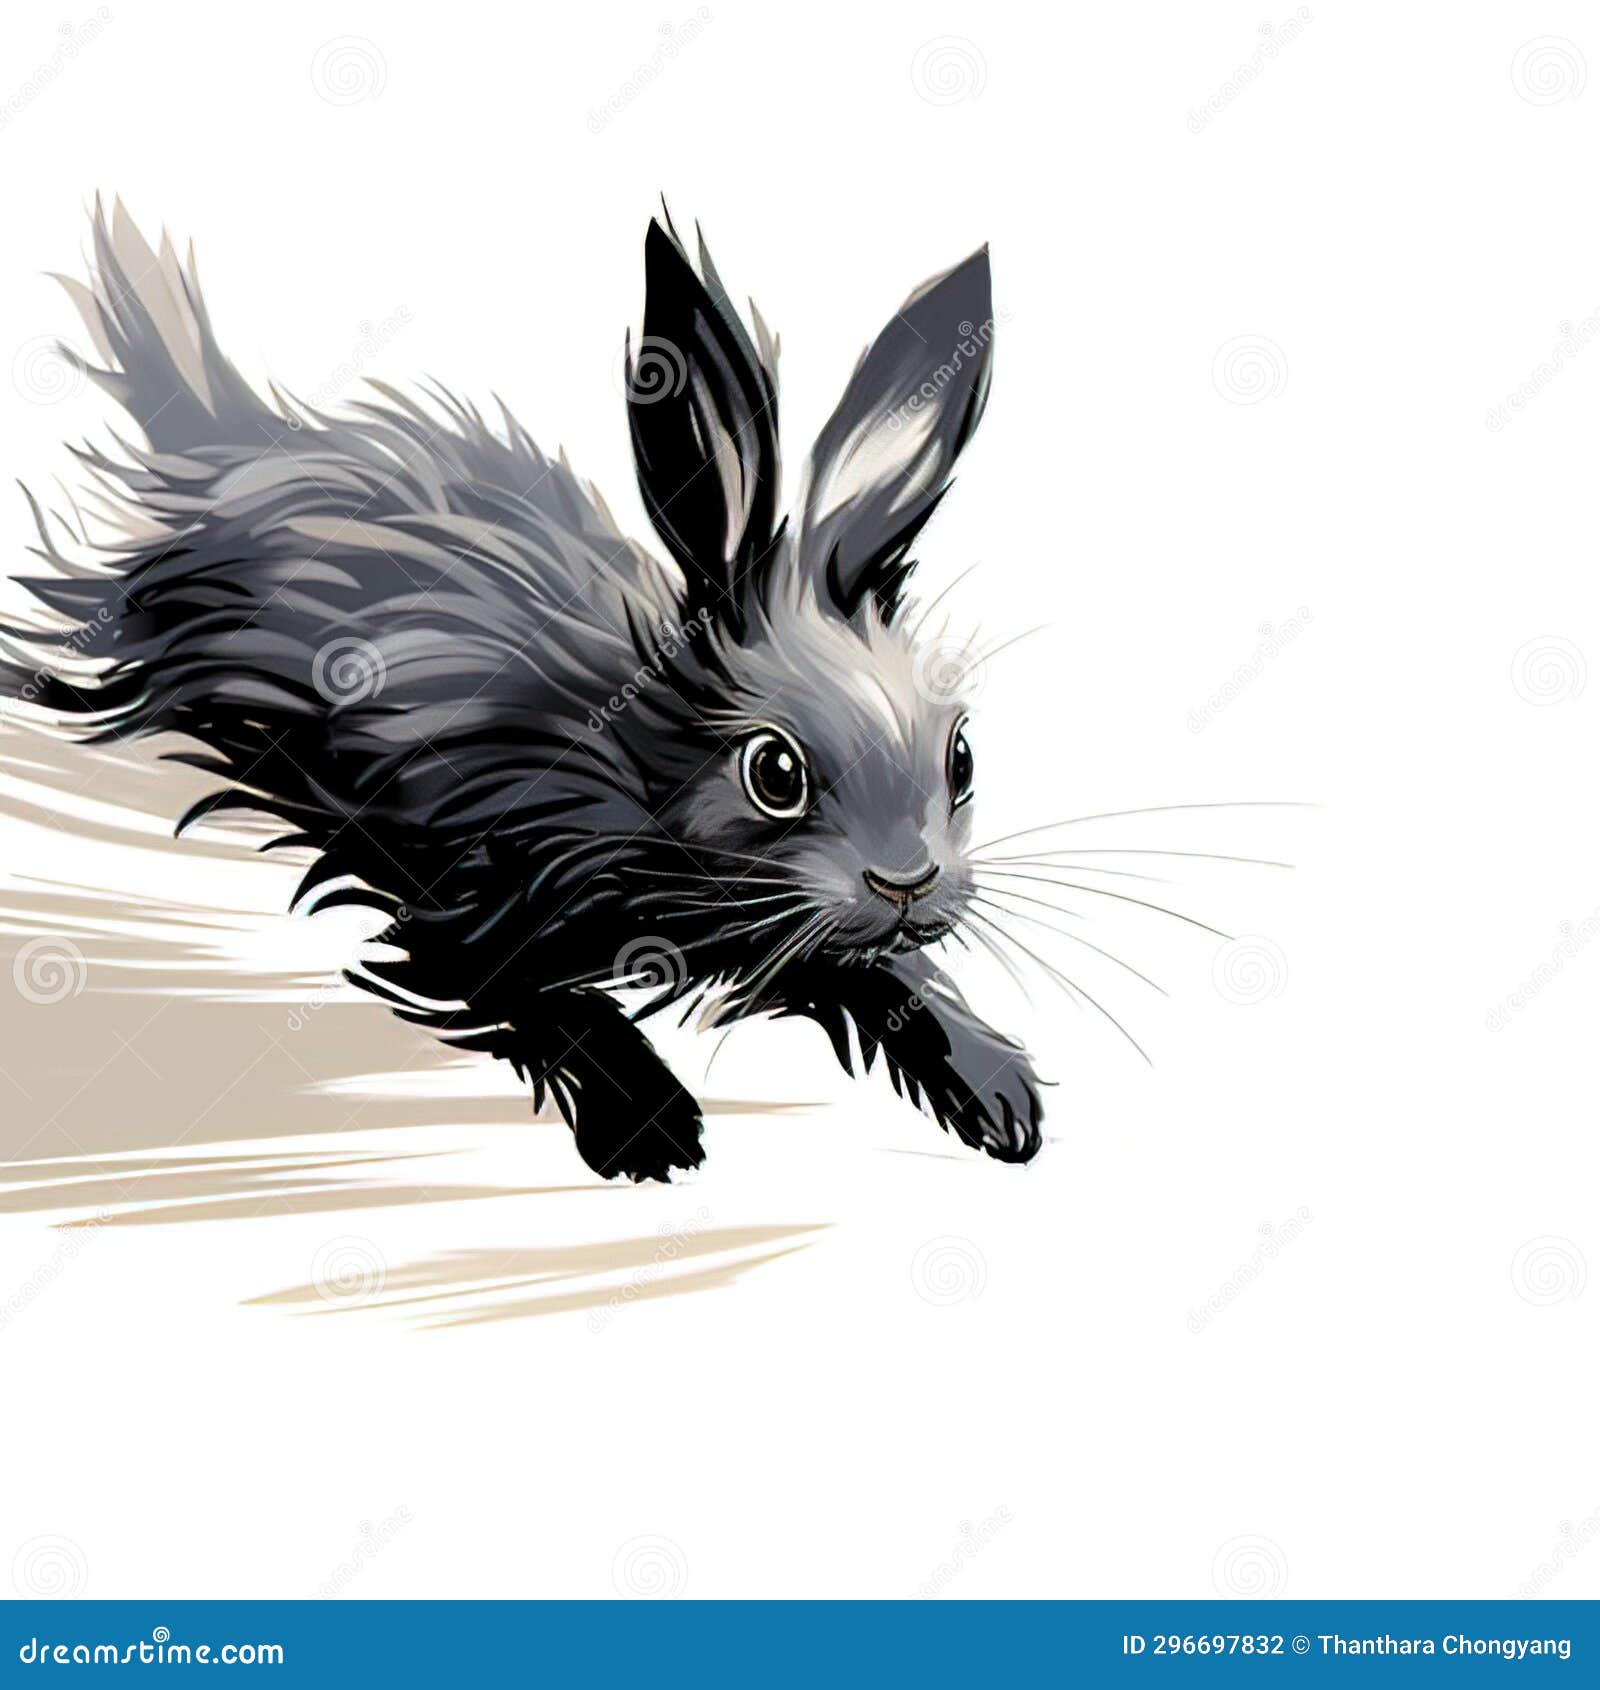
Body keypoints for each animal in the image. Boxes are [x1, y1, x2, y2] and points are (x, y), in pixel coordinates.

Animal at [2, 199, 1042, 1181]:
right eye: (775, 773)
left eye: (960, 756)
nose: (910, 882)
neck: (620, 754)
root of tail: (219, 448)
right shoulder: (463, 896)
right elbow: (541, 996)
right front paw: (650, 1122)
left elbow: (885, 973)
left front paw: (997, 1085)